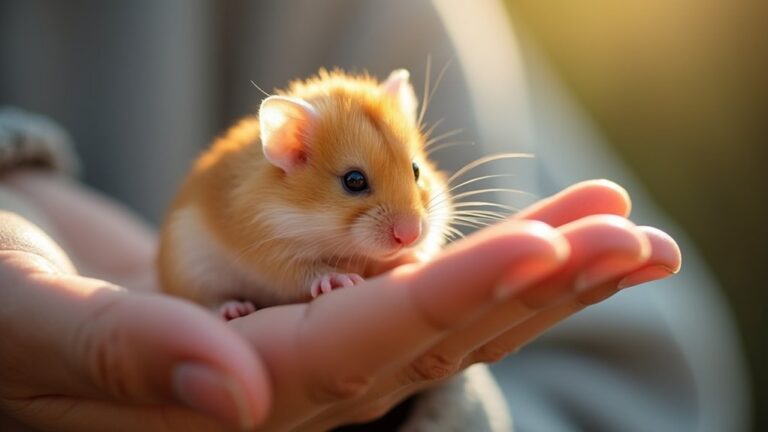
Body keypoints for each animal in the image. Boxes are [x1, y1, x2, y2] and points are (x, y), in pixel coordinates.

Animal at [158, 69, 453, 319]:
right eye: (354, 181)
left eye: (416, 169)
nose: (411, 236)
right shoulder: (271, 252)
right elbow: (306, 272)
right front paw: (341, 279)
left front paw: (415, 257)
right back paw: (234, 309)